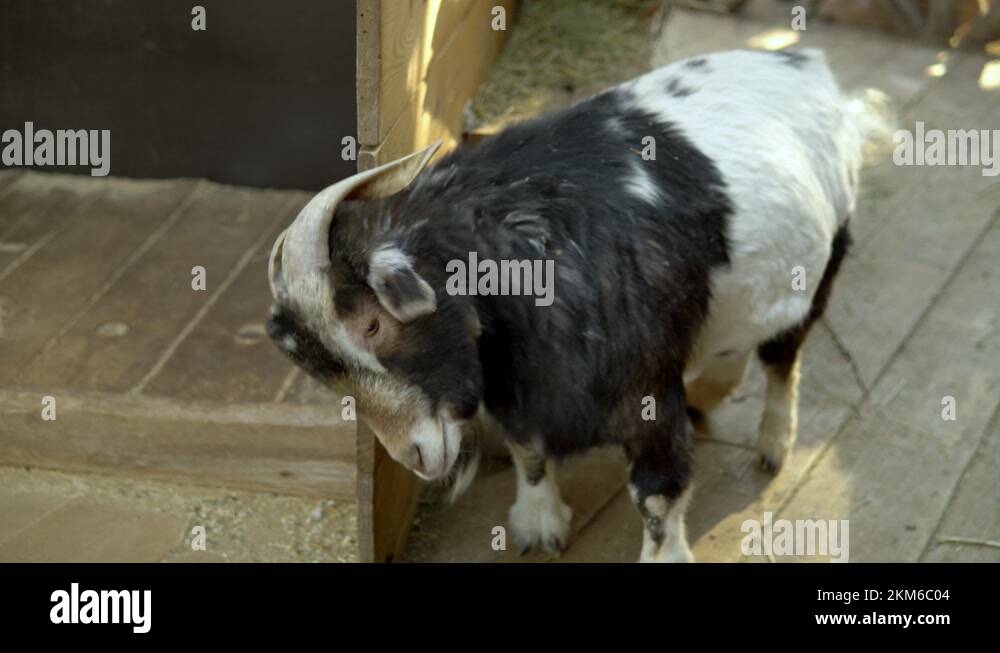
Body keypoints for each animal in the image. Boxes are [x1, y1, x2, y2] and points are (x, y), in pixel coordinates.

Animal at [267, 49, 889, 562]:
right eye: (321, 371)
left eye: (372, 324)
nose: (415, 456)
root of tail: (812, 68)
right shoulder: (514, 384)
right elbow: (527, 448)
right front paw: (539, 522)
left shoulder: (645, 388)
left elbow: (658, 493)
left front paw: (665, 557)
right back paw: (715, 387)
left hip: (824, 262)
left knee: (785, 357)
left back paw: (773, 444)